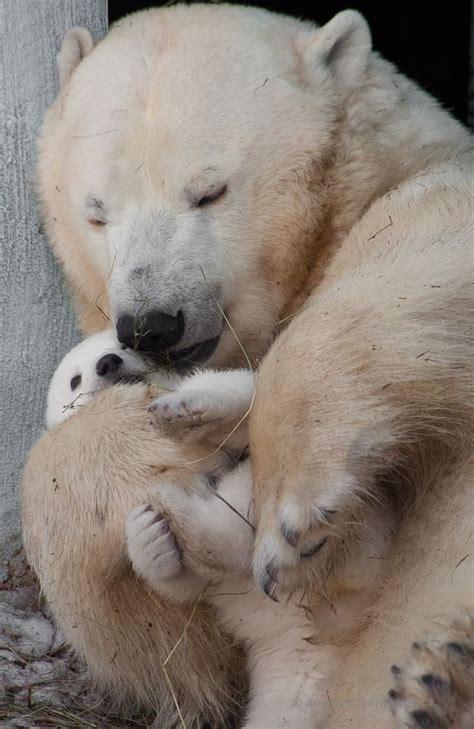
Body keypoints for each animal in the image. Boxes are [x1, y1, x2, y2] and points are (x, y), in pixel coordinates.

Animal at [30, 4, 473, 727]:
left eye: (209, 192)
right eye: (97, 211)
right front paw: (152, 457)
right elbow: (186, 653)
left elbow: (427, 249)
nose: (151, 323)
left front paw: (293, 509)